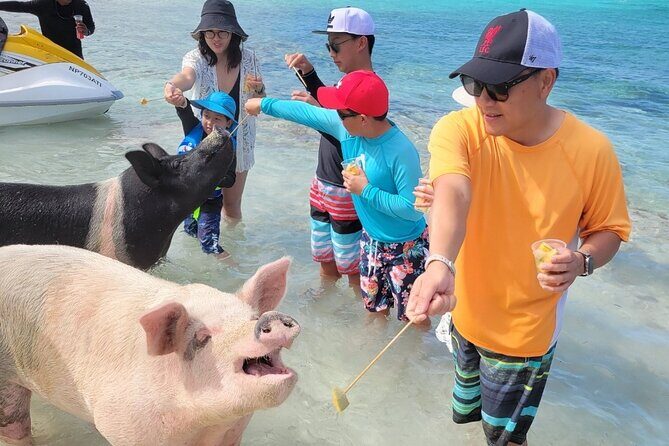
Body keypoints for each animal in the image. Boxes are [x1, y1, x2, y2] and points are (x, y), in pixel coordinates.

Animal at [0, 244, 300, 446]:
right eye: (202, 337)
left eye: (251, 318)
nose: (270, 318)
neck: (205, 425)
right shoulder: (127, 425)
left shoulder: (232, 432)